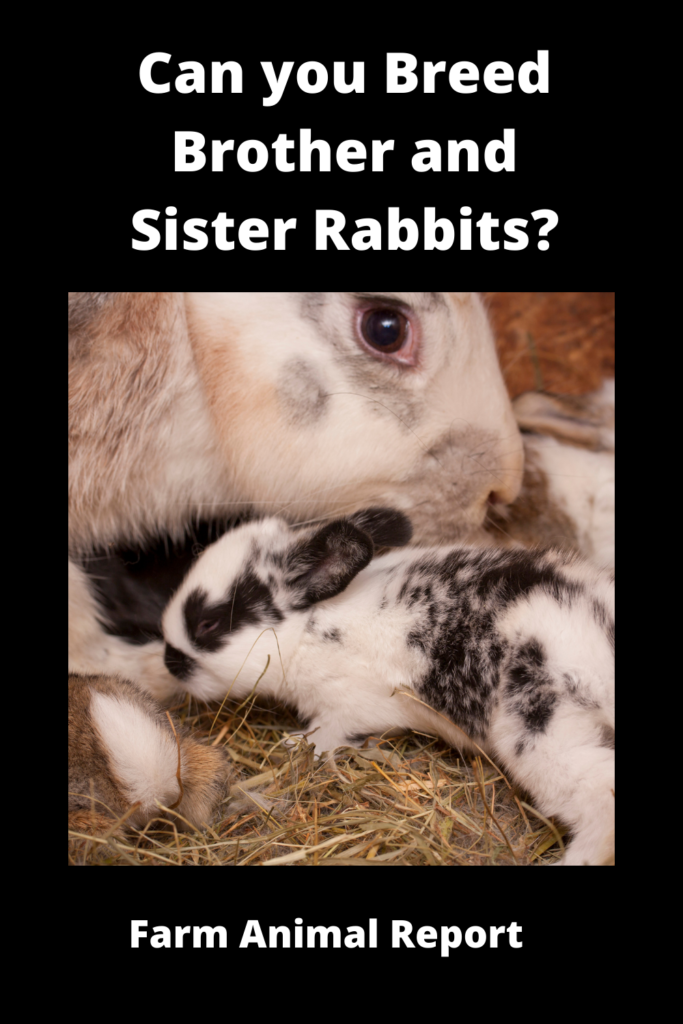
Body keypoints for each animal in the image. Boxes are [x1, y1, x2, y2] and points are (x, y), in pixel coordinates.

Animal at [161, 507, 615, 866]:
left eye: (208, 624)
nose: (169, 661)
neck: (311, 625)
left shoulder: (347, 706)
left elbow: (327, 733)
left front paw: (295, 744)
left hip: (542, 732)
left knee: (599, 799)